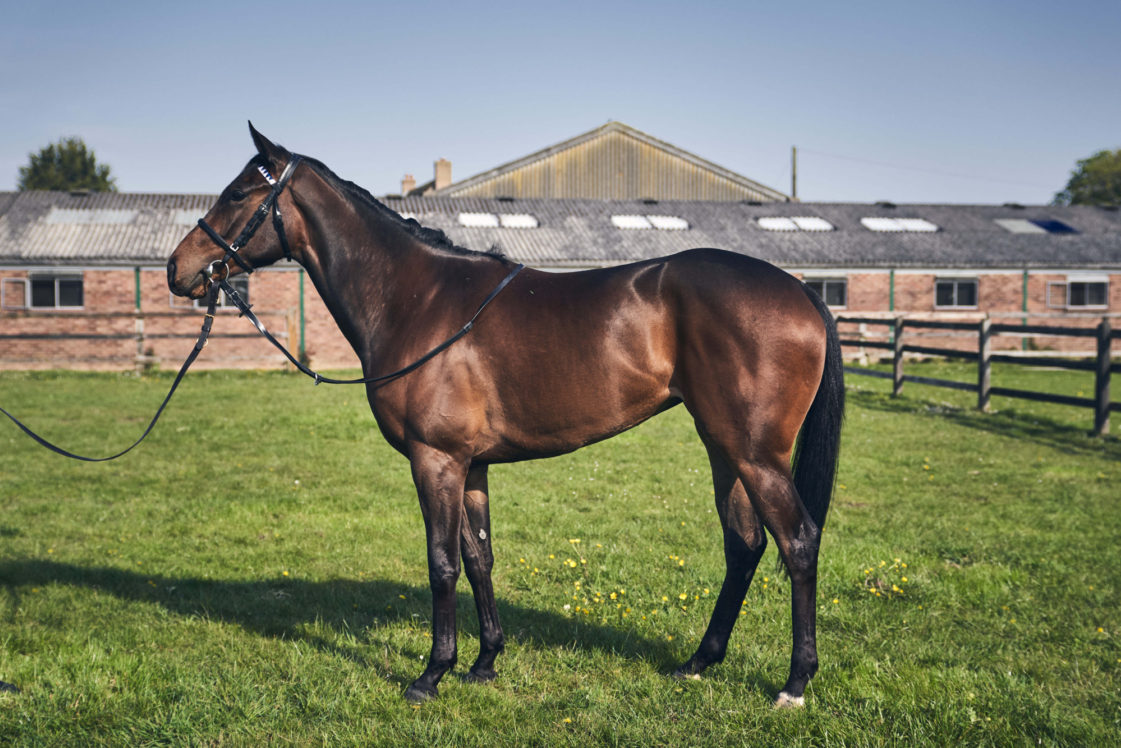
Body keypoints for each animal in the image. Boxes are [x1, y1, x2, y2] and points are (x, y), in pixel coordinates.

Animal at [167, 124, 845, 708]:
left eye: (237, 193)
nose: (179, 269)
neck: (418, 300)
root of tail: (801, 290)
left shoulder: (435, 460)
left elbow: (441, 563)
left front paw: (432, 673)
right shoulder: (471, 466)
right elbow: (479, 559)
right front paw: (485, 662)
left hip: (755, 454)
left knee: (798, 542)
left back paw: (795, 682)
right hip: (722, 445)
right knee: (745, 545)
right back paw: (700, 662)